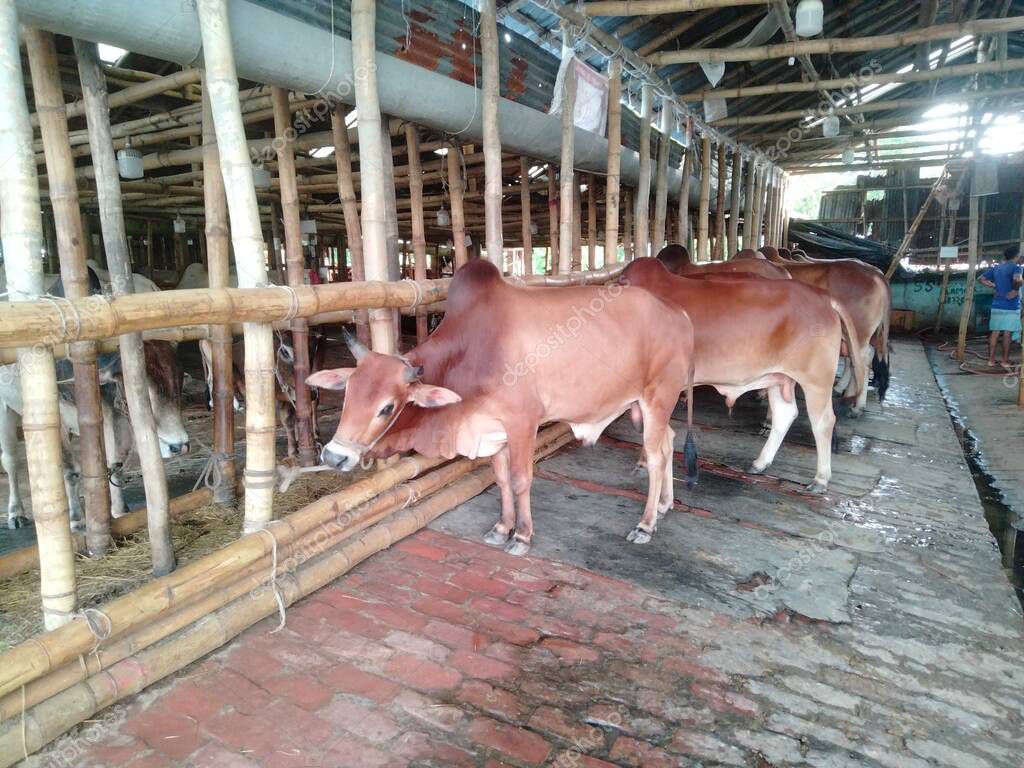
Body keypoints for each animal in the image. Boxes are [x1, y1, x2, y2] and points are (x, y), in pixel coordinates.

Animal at [307, 259, 699, 554]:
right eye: (347, 394)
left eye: (387, 407)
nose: (334, 457)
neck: (473, 351)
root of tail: (678, 314)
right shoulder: (490, 428)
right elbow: (500, 479)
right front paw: (501, 527)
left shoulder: (522, 422)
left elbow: (521, 479)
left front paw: (522, 536)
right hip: (644, 407)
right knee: (668, 442)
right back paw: (664, 506)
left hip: (657, 397)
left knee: (655, 457)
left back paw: (645, 524)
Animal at [620, 258, 864, 492]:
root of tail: (824, 298)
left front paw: (642, 464)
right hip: (779, 378)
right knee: (784, 415)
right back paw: (760, 463)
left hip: (816, 380)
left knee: (823, 422)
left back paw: (820, 479)